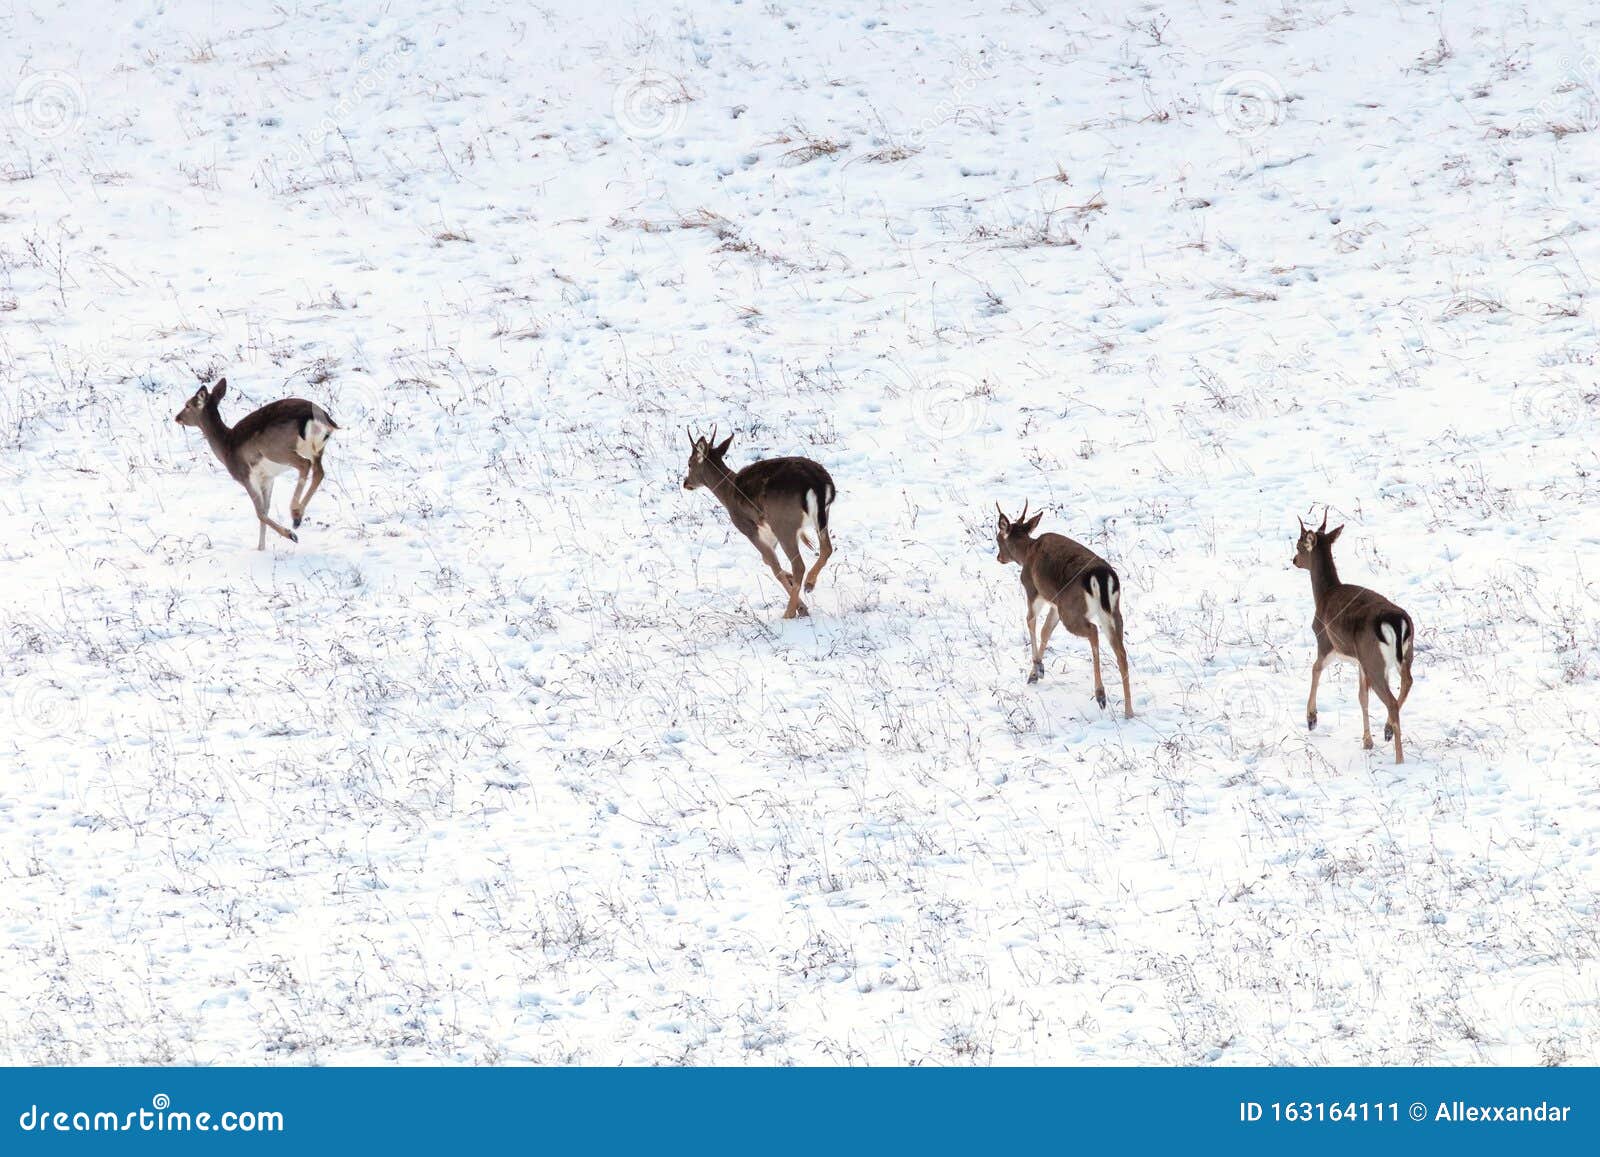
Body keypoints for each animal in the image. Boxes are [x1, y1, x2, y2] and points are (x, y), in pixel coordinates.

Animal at [175, 378, 338, 551]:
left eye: (187, 405)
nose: (177, 417)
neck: (225, 448)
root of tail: (317, 417)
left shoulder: (245, 475)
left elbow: (259, 513)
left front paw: (289, 535)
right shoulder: (267, 478)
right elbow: (265, 511)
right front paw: (261, 548)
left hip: (275, 448)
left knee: (304, 464)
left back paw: (295, 514)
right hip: (316, 449)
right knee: (319, 472)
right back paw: (298, 516)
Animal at [682, 427, 835, 619]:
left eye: (689, 463)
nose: (685, 483)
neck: (728, 493)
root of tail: (817, 483)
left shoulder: (748, 528)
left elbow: (774, 566)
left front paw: (802, 608)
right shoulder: (767, 531)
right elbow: (768, 562)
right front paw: (793, 586)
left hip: (784, 522)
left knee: (799, 565)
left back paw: (789, 612)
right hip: (822, 517)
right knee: (827, 549)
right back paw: (809, 584)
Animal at [995, 503, 1133, 717]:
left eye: (997, 538)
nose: (999, 557)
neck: (1026, 552)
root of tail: (1101, 576)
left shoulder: (1034, 590)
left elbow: (1031, 621)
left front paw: (1037, 669)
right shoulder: (1055, 603)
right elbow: (1046, 631)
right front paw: (1035, 673)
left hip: (1072, 610)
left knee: (1093, 631)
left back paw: (1100, 695)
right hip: (1112, 612)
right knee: (1121, 653)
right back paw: (1129, 712)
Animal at [1293, 513, 1415, 763]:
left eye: (1298, 545)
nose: (1293, 560)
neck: (1324, 595)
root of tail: (1396, 620)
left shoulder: (1325, 639)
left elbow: (1315, 668)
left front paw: (1311, 718)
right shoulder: (1360, 661)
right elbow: (1361, 696)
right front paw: (1367, 741)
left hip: (1374, 659)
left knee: (1391, 700)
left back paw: (1398, 757)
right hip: (1403, 654)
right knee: (1407, 682)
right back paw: (1387, 730)